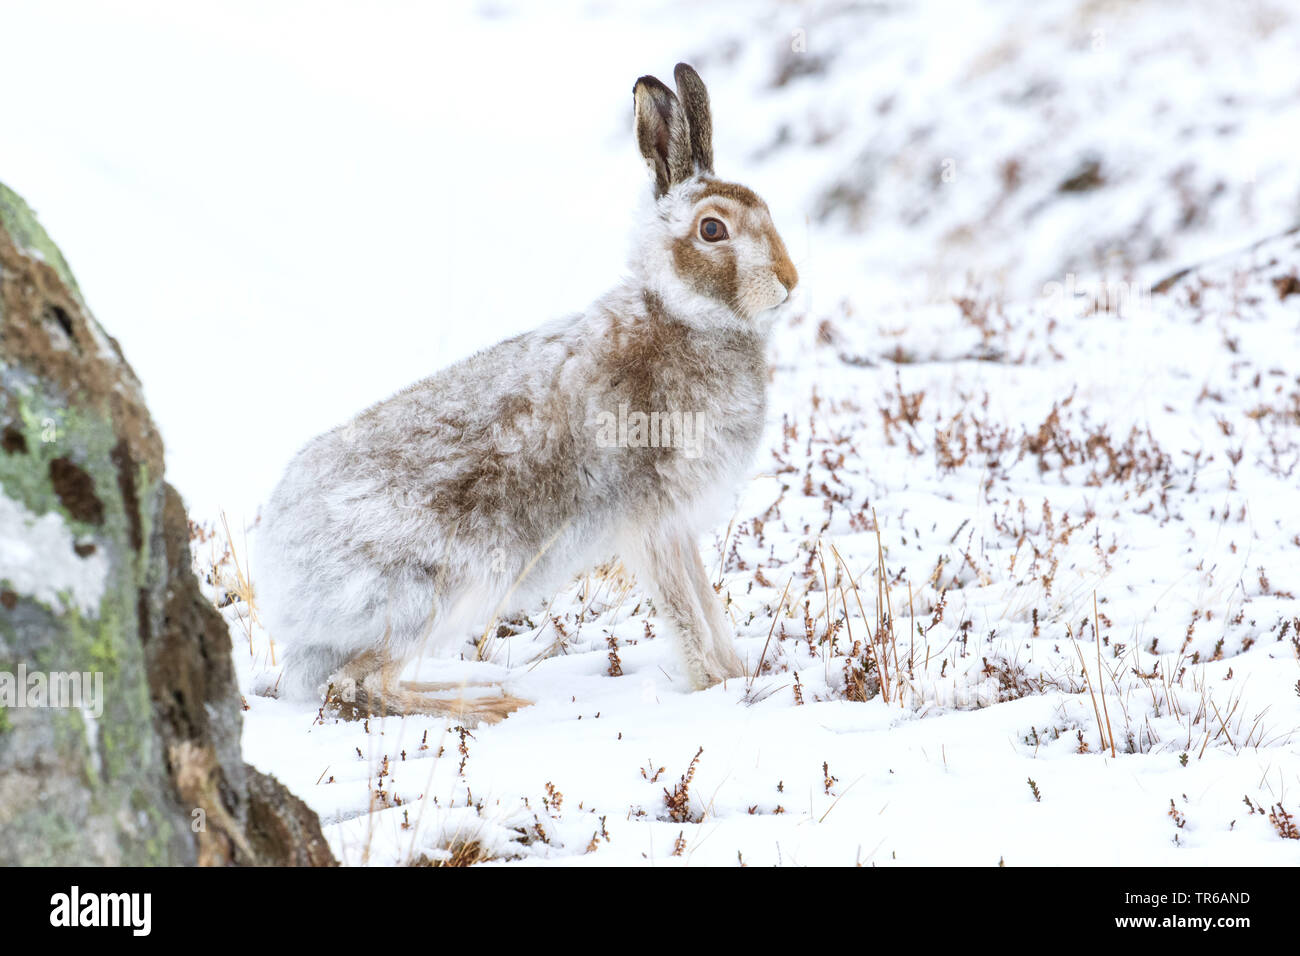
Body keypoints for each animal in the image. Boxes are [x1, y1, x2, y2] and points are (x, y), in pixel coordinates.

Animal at [256, 63, 799, 722]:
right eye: (713, 230)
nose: (789, 282)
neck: (682, 314)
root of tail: (280, 581)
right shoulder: (651, 520)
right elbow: (686, 613)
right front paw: (716, 688)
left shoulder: (677, 526)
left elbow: (707, 605)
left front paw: (740, 675)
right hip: (447, 590)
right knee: (358, 684)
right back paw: (491, 705)